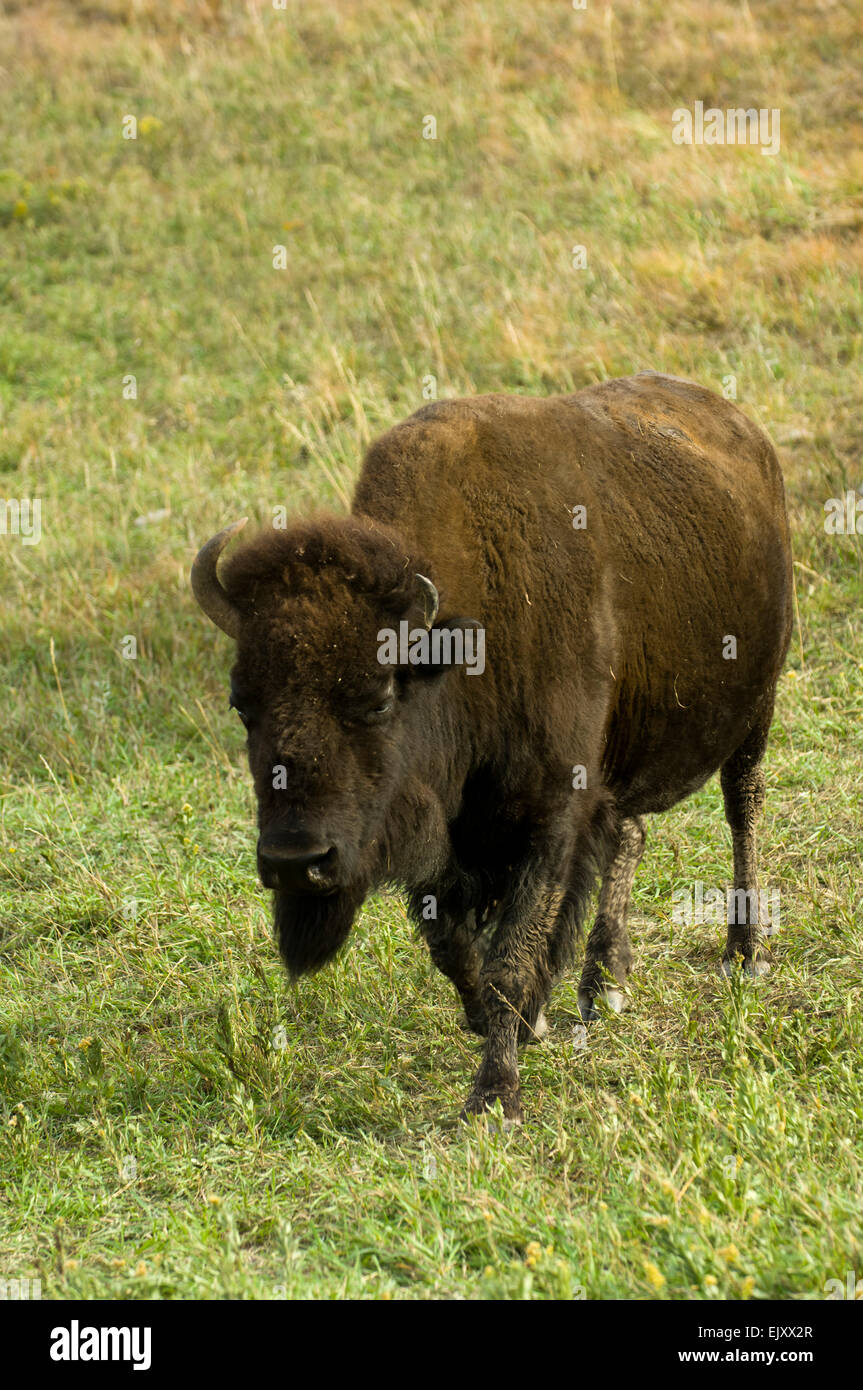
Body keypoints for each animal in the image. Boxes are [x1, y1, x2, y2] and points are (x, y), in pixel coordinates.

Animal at [191, 373, 792, 1121]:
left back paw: (743, 951)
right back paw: (605, 979)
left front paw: (494, 1092)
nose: (297, 861)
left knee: (743, 807)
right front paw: (507, 1023)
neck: (457, 646)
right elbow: (456, 949)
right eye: (241, 704)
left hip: (756, 707)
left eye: (378, 698)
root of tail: (742, 430)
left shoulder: (550, 812)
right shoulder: (448, 838)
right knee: (630, 834)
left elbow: (513, 951)